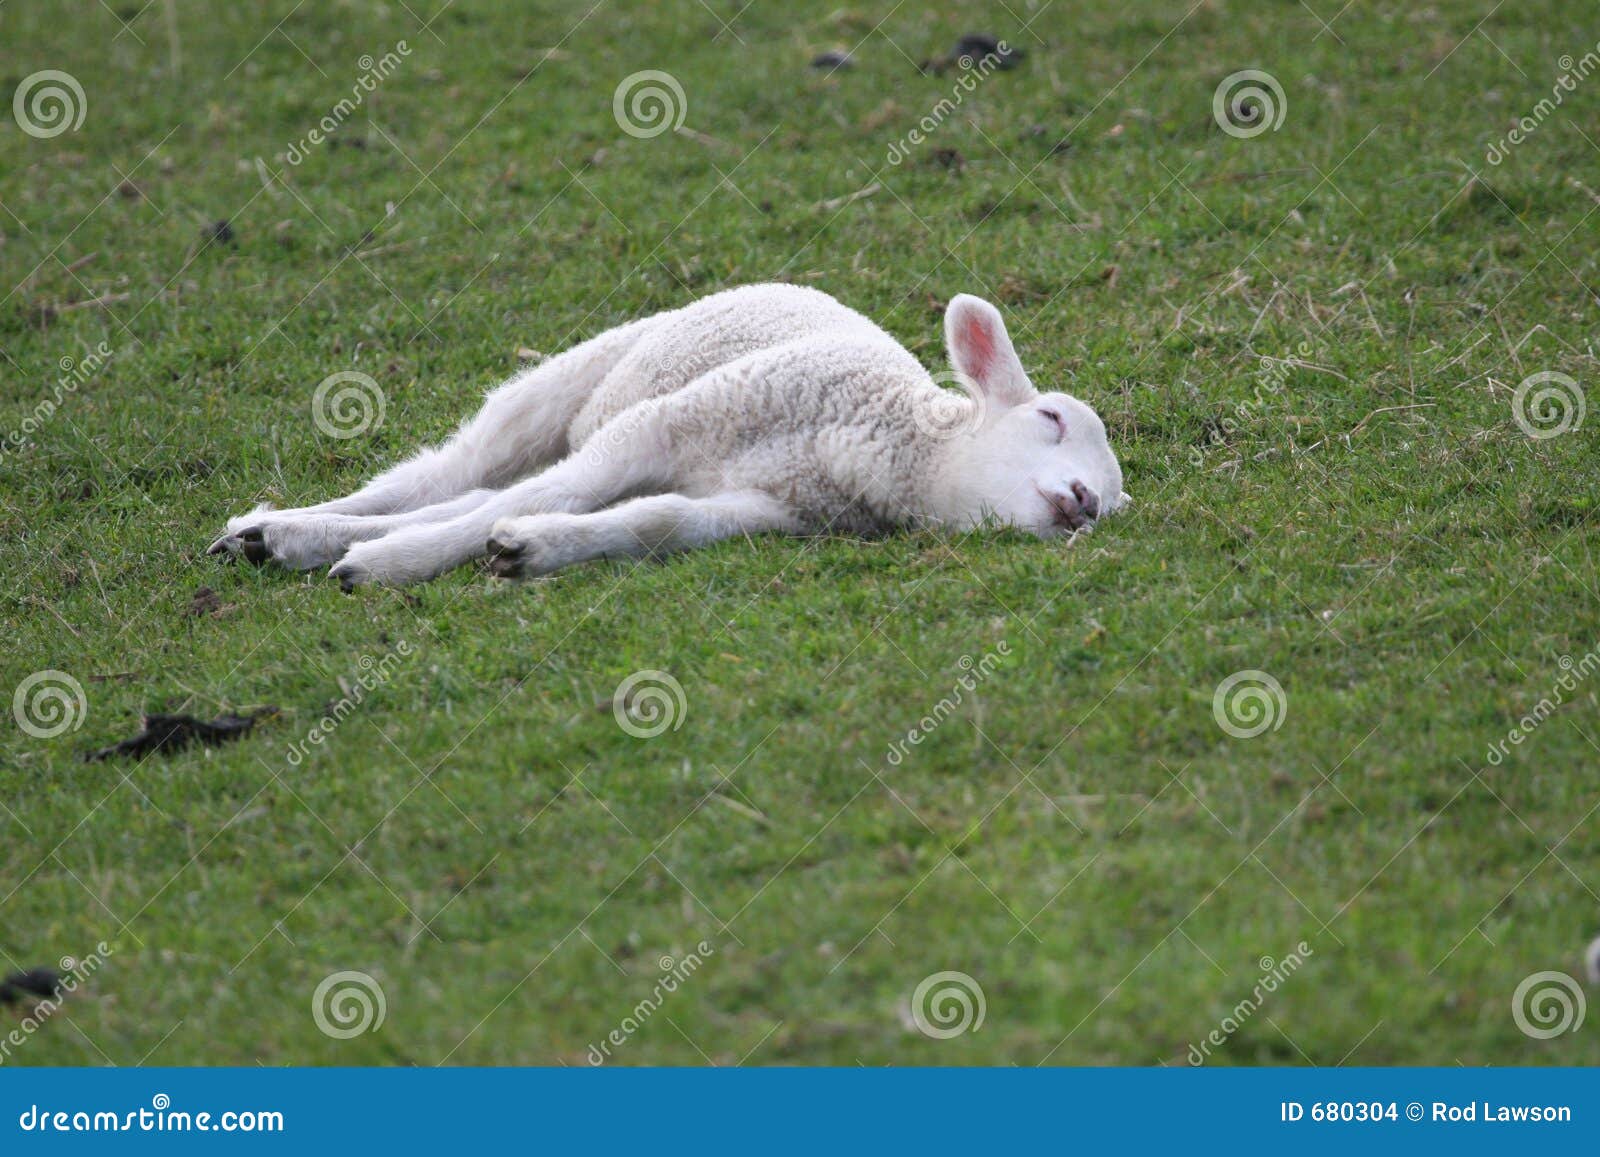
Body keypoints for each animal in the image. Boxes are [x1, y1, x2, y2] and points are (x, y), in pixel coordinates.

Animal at [207, 284, 1127, 587]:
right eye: (1050, 419)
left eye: (1115, 510)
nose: (1084, 502)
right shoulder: (666, 425)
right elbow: (539, 494)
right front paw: (389, 563)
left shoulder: (767, 508)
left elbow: (653, 522)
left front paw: (527, 549)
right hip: (569, 388)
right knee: (446, 476)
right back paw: (278, 529)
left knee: (481, 488)